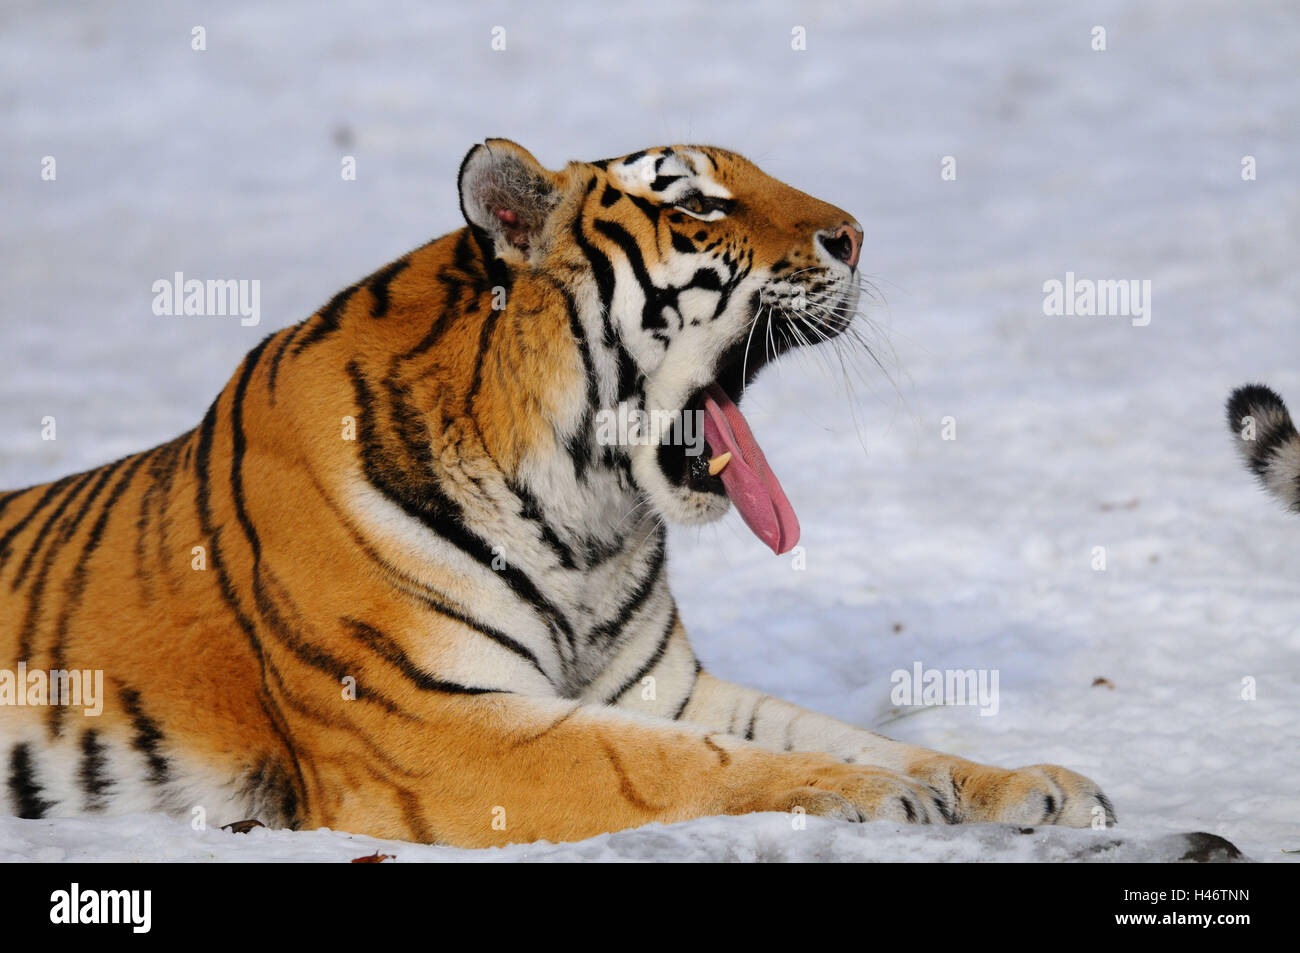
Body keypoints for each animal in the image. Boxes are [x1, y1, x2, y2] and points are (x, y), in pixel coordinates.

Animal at [0, 139, 1114, 846]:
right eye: (697, 202)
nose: (856, 234)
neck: (588, 519)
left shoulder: (661, 690)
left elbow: (823, 728)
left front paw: (1029, 785)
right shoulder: (433, 724)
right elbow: (676, 766)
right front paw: (878, 794)